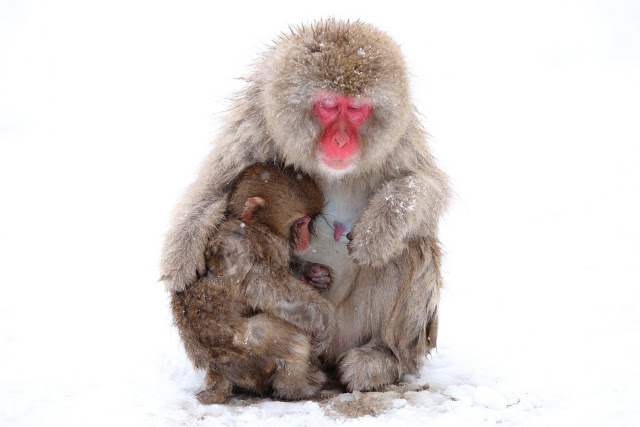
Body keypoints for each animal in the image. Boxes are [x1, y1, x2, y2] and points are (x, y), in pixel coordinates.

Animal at [171, 164, 336, 403]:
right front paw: (326, 318)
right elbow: (270, 289)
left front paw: (315, 275)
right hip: (250, 354)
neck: (258, 225)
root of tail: (218, 373)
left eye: (308, 223)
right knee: (292, 335)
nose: (306, 240)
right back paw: (297, 388)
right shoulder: (253, 245)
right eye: (300, 223)